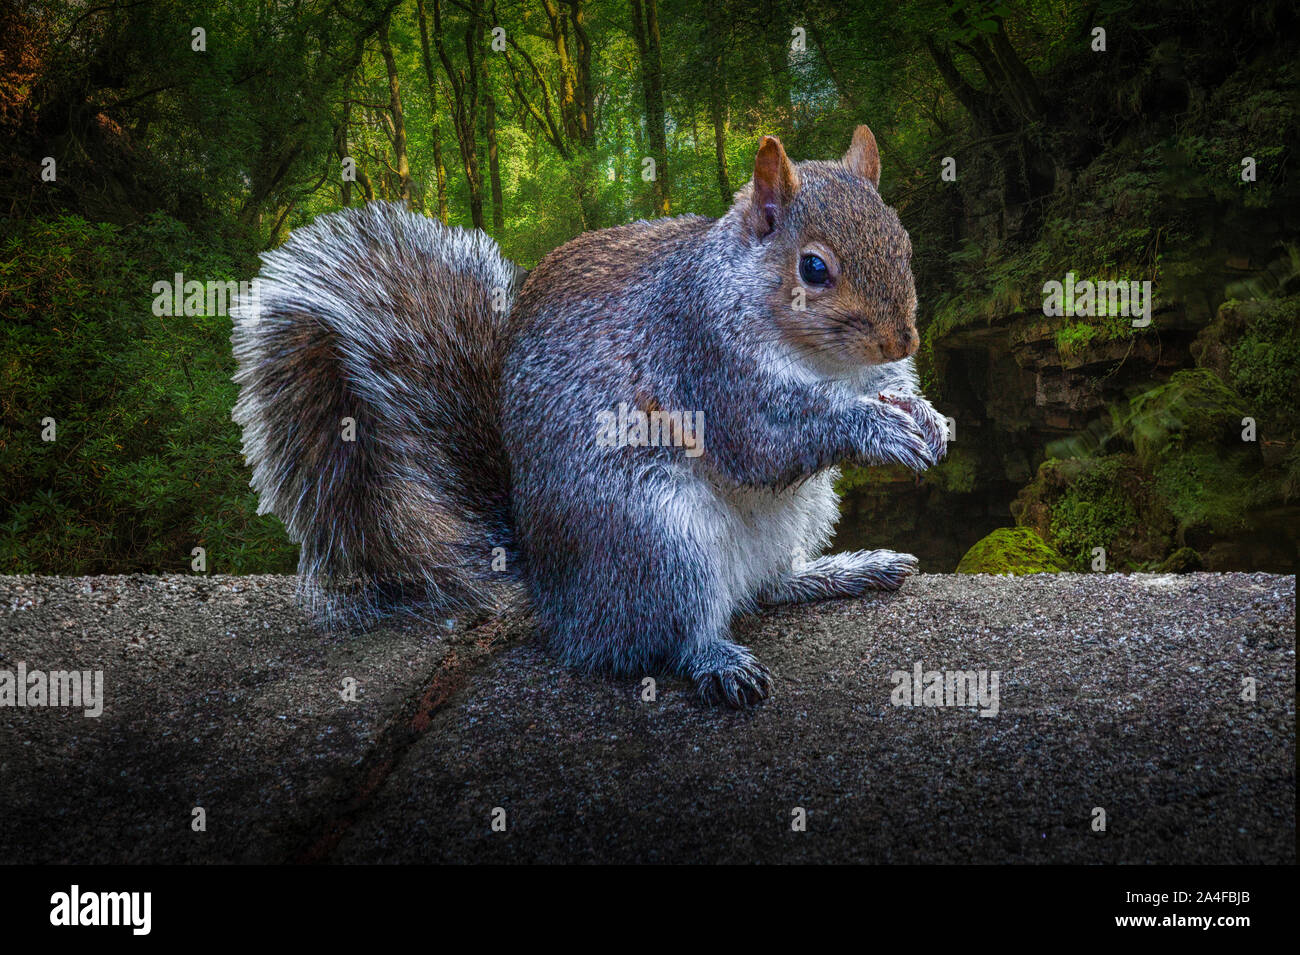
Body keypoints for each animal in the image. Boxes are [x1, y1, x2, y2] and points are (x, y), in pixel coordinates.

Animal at [231, 125, 948, 708]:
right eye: (814, 267)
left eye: (904, 242)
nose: (903, 341)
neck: (821, 363)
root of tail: (560, 600)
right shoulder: (701, 362)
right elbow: (765, 441)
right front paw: (876, 429)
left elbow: (883, 393)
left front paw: (927, 417)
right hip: (657, 538)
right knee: (669, 635)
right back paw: (717, 659)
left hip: (797, 512)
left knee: (768, 586)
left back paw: (840, 571)